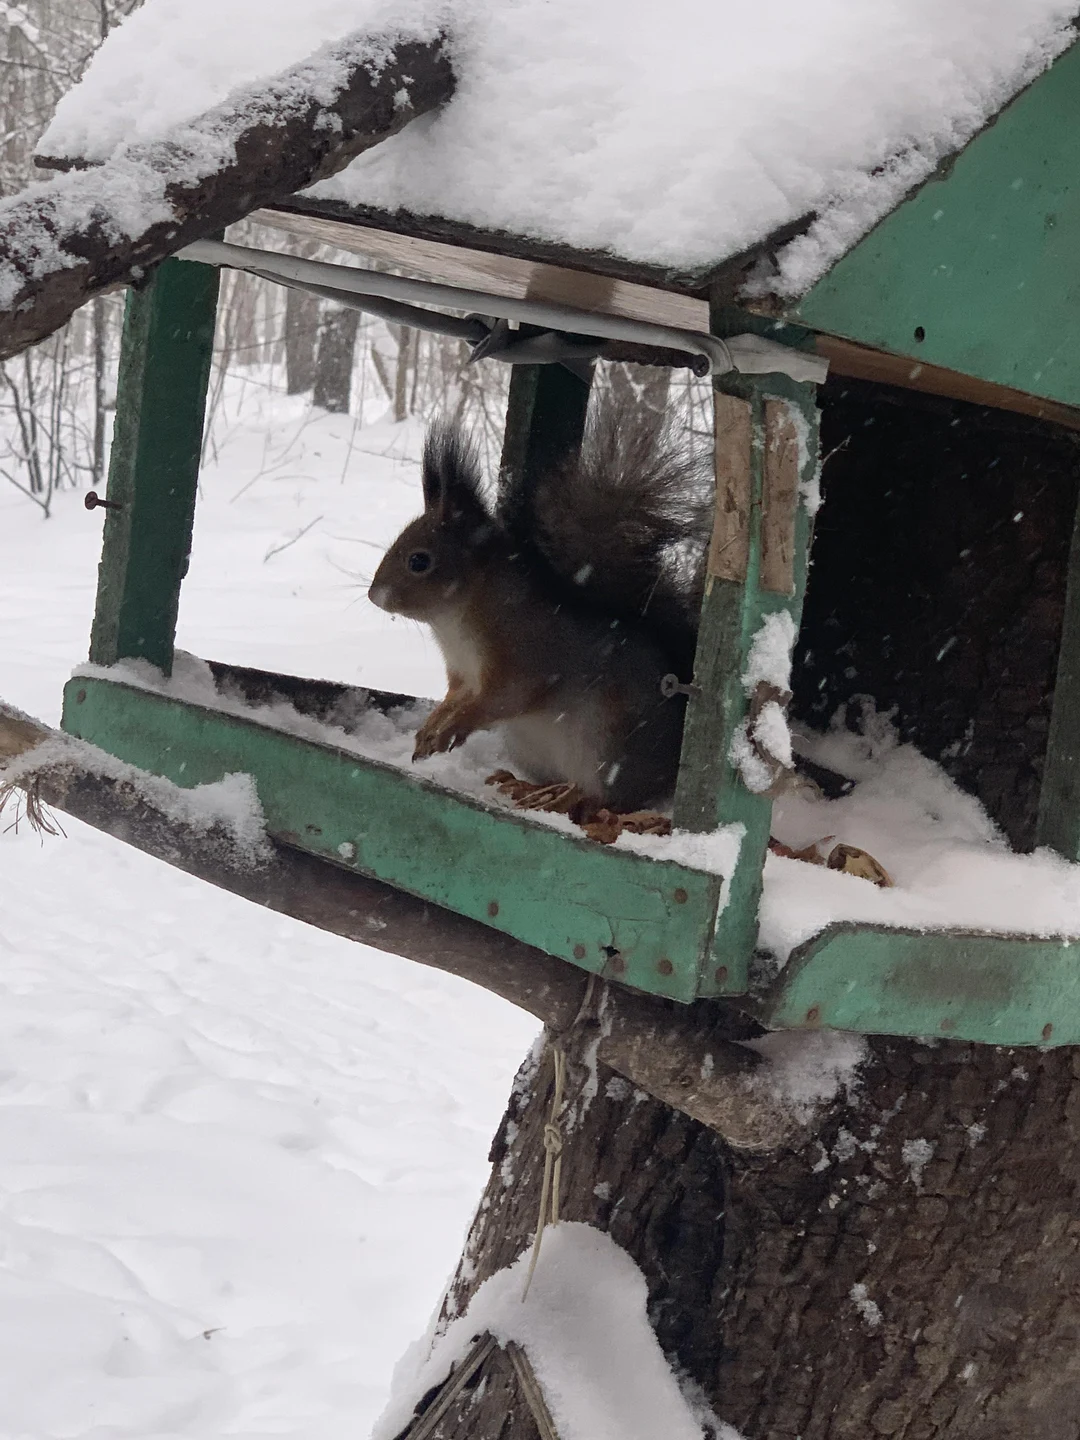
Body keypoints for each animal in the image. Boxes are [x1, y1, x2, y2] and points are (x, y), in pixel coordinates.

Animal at [368, 399, 710, 812]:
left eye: (419, 561)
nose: (374, 595)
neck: (454, 624)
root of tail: (666, 777)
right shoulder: (463, 675)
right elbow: (454, 698)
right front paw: (432, 727)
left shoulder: (525, 657)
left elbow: (499, 701)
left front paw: (454, 728)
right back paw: (524, 785)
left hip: (605, 743)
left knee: (605, 797)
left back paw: (560, 798)